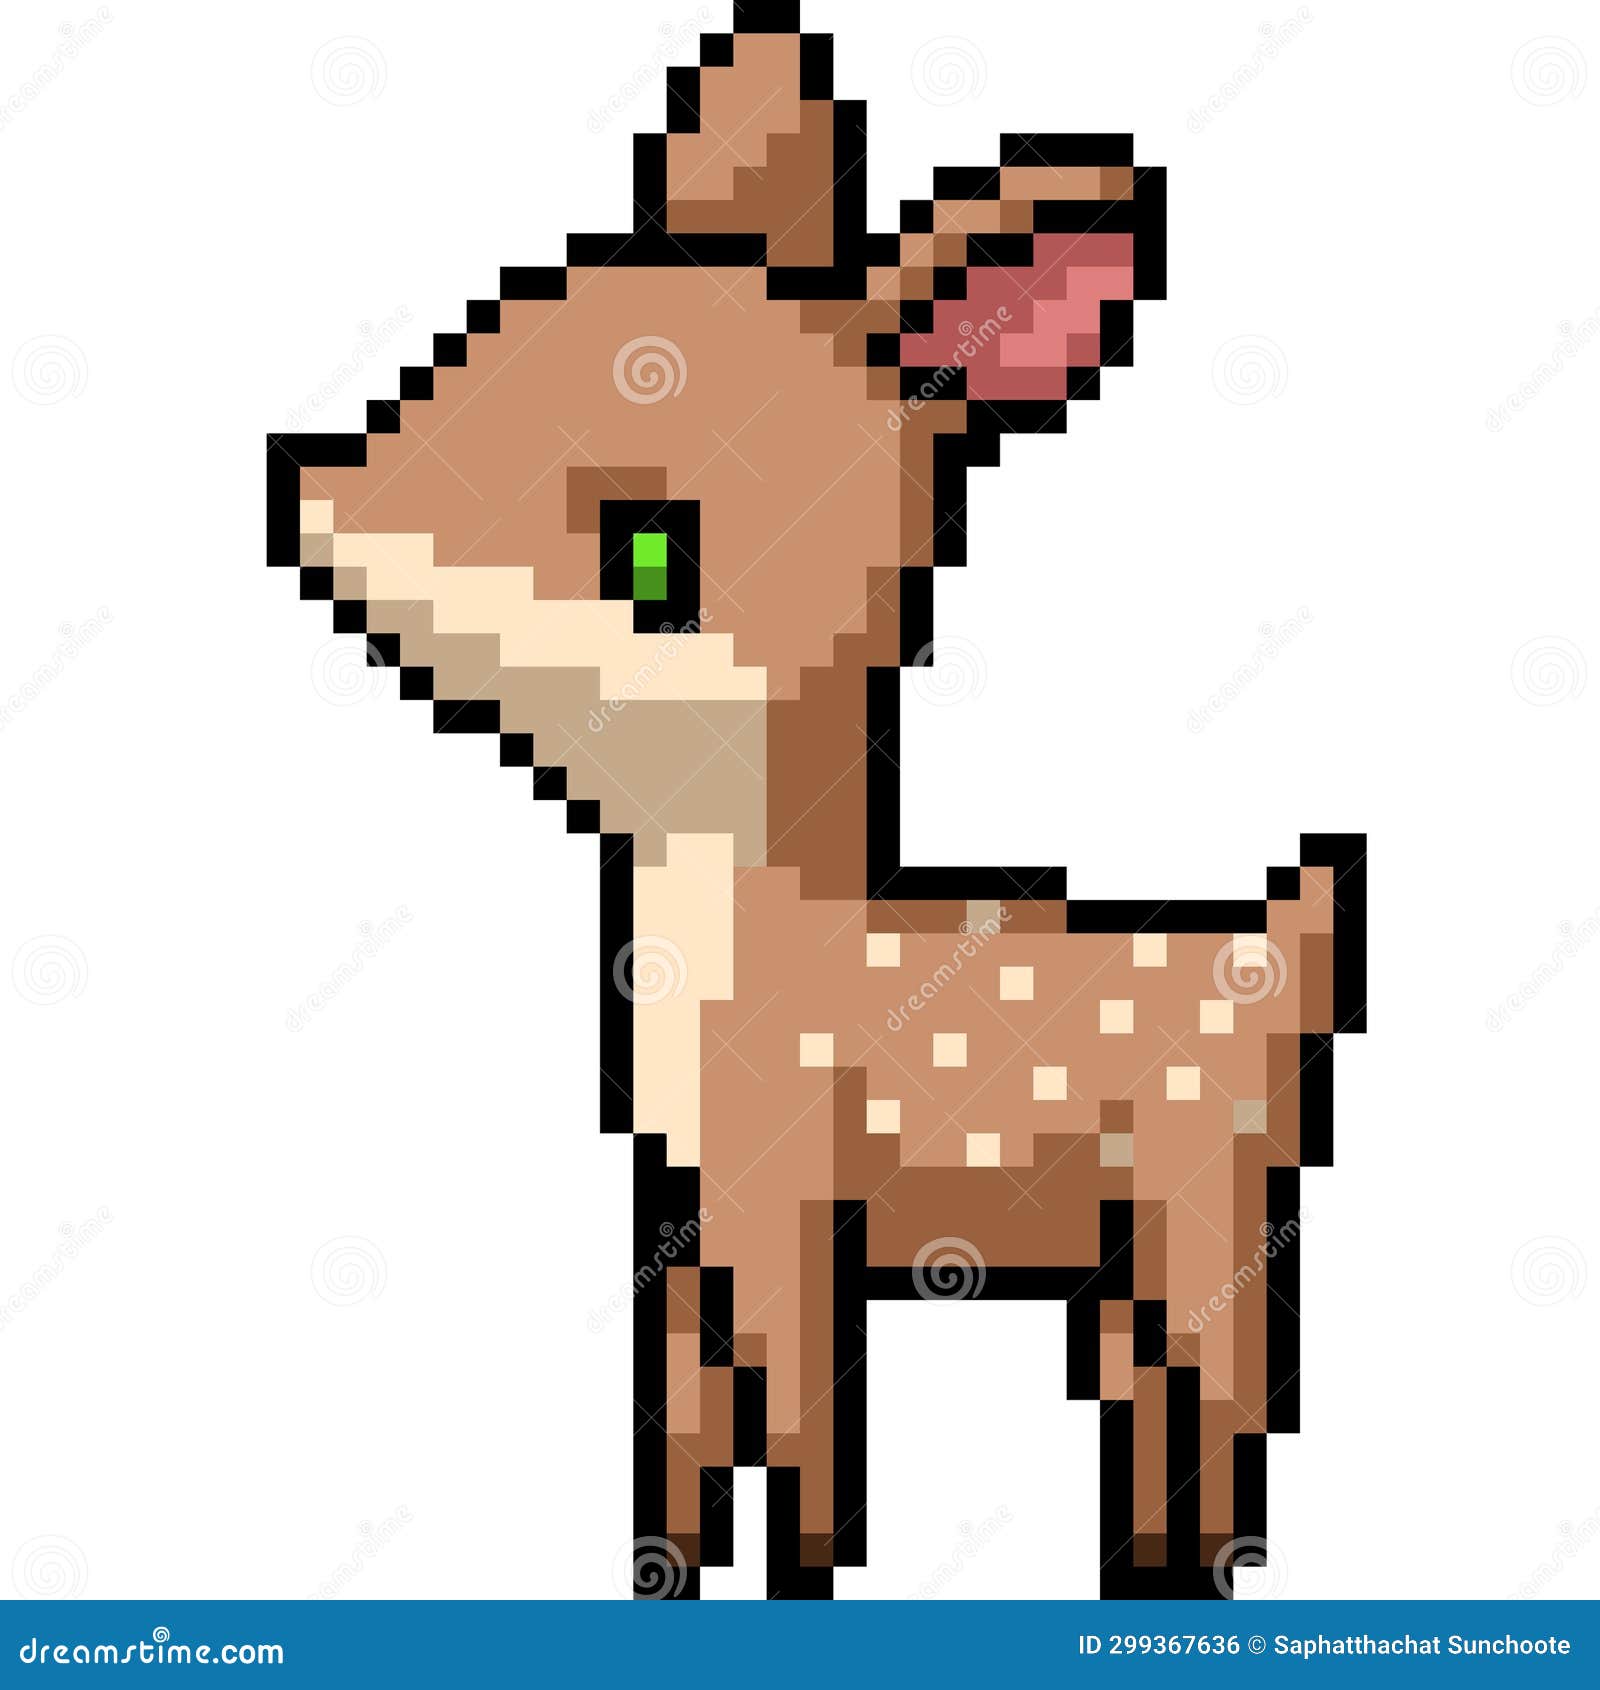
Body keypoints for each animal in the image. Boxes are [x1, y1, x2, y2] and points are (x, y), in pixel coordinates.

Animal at [266, 1, 1366, 1600]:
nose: (311, 491)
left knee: (1226, 1384)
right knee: (1144, 1381)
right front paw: (663, 1575)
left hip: (1202, 1188)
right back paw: (1144, 1557)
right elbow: (686, 1407)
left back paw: (1208, 1566)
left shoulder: (792, 1188)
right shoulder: (690, 1207)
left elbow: (802, 1430)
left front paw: (806, 1581)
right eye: (460, 366)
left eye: (653, 552)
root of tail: (1292, 942)